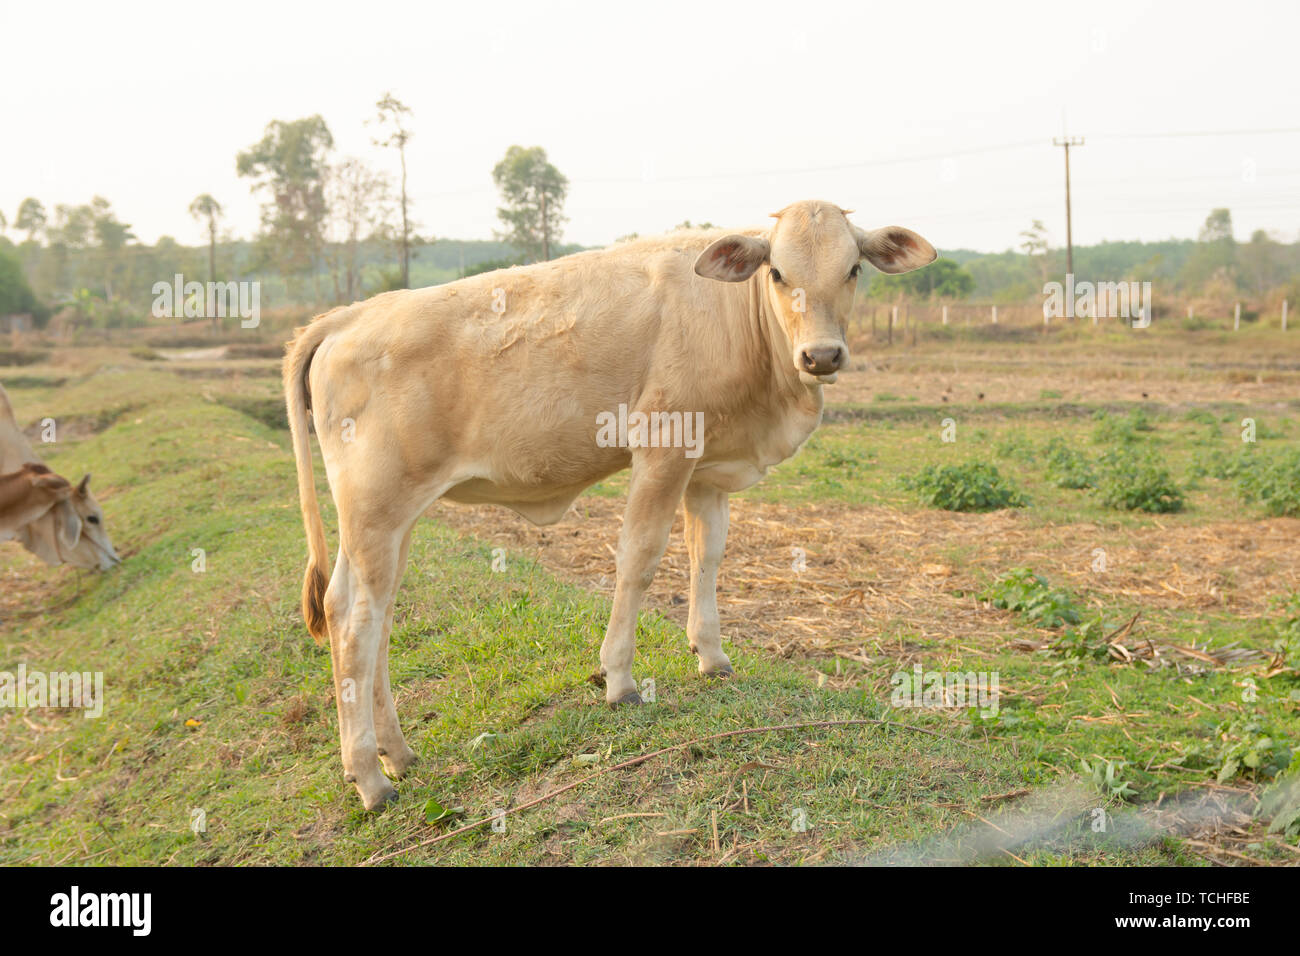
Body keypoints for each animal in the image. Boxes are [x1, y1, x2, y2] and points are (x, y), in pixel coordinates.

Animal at [284, 200, 936, 809]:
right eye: (777, 272)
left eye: (853, 268)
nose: (821, 356)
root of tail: (347, 315)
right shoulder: (661, 448)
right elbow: (639, 560)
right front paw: (619, 679)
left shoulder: (708, 469)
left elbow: (707, 559)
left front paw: (712, 655)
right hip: (377, 509)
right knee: (356, 622)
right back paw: (370, 777)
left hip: (386, 525)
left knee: (367, 614)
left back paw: (397, 753)